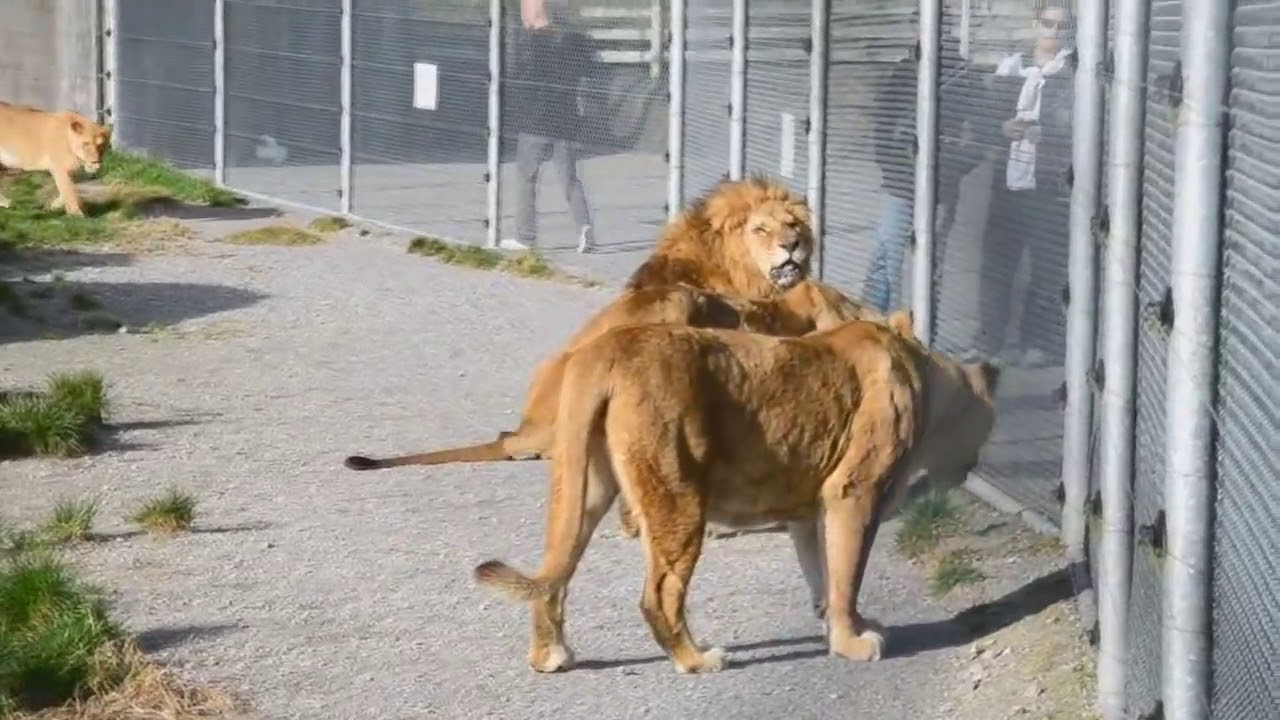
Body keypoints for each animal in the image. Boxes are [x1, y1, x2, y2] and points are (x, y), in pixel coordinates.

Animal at [472, 310, 1002, 675]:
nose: (972, 466)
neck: (925, 376)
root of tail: (610, 346)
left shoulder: (808, 509)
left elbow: (822, 572)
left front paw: (831, 624)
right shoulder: (853, 493)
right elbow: (847, 576)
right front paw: (853, 642)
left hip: (585, 487)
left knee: (553, 574)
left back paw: (551, 655)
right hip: (678, 495)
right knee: (659, 595)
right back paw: (697, 659)